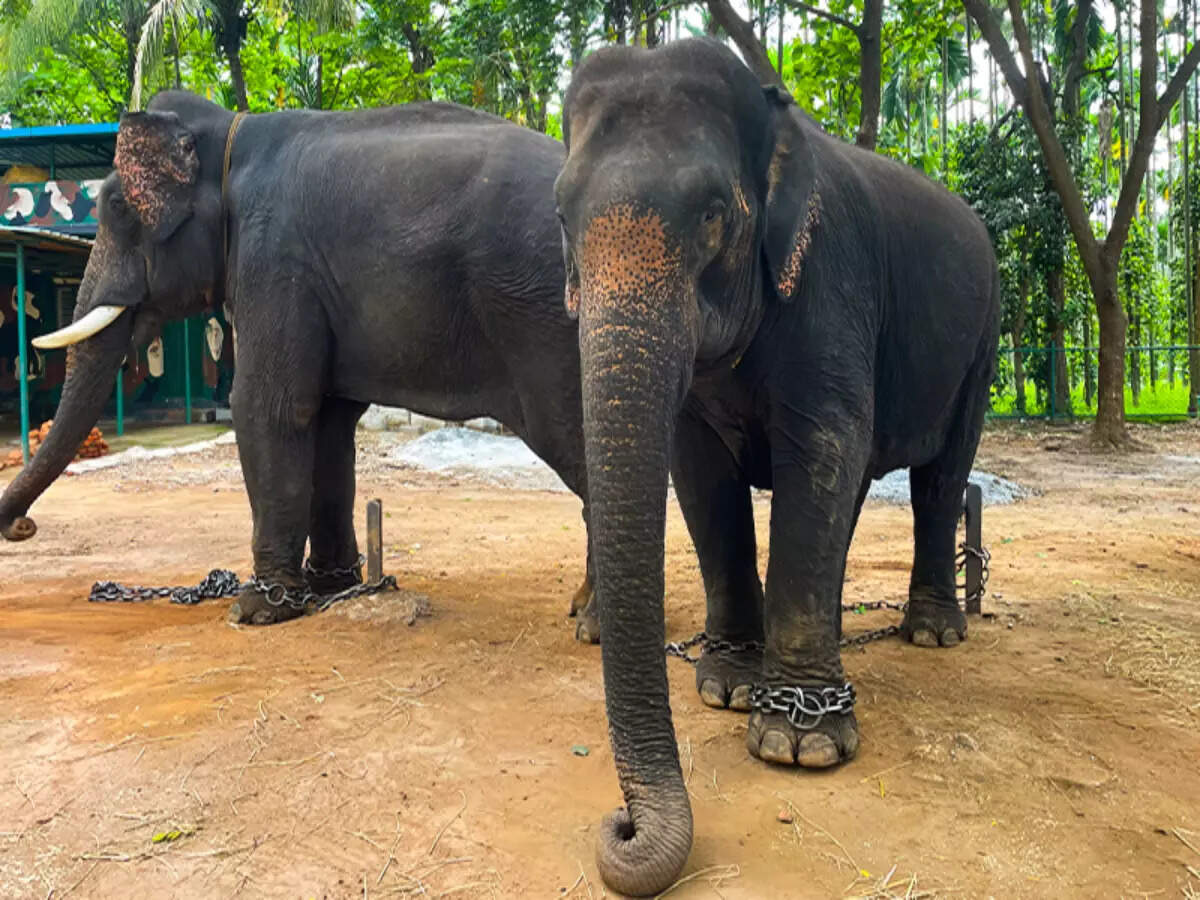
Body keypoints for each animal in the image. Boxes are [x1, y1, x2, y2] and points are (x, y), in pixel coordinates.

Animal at [0, 91, 602, 634]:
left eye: (119, 210)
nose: (22, 527)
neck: (228, 132)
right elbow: (329, 422)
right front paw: (331, 586)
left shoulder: (273, 259)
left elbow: (267, 407)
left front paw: (257, 611)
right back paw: (581, 605)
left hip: (545, 318)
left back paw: (594, 625)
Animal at [554, 39, 1000, 895]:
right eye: (560, 216)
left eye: (713, 214)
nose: (620, 824)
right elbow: (704, 478)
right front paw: (727, 687)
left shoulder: (831, 282)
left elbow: (824, 446)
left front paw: (801, 744)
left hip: (983, 342)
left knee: (940, 478)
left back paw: (931, 635)